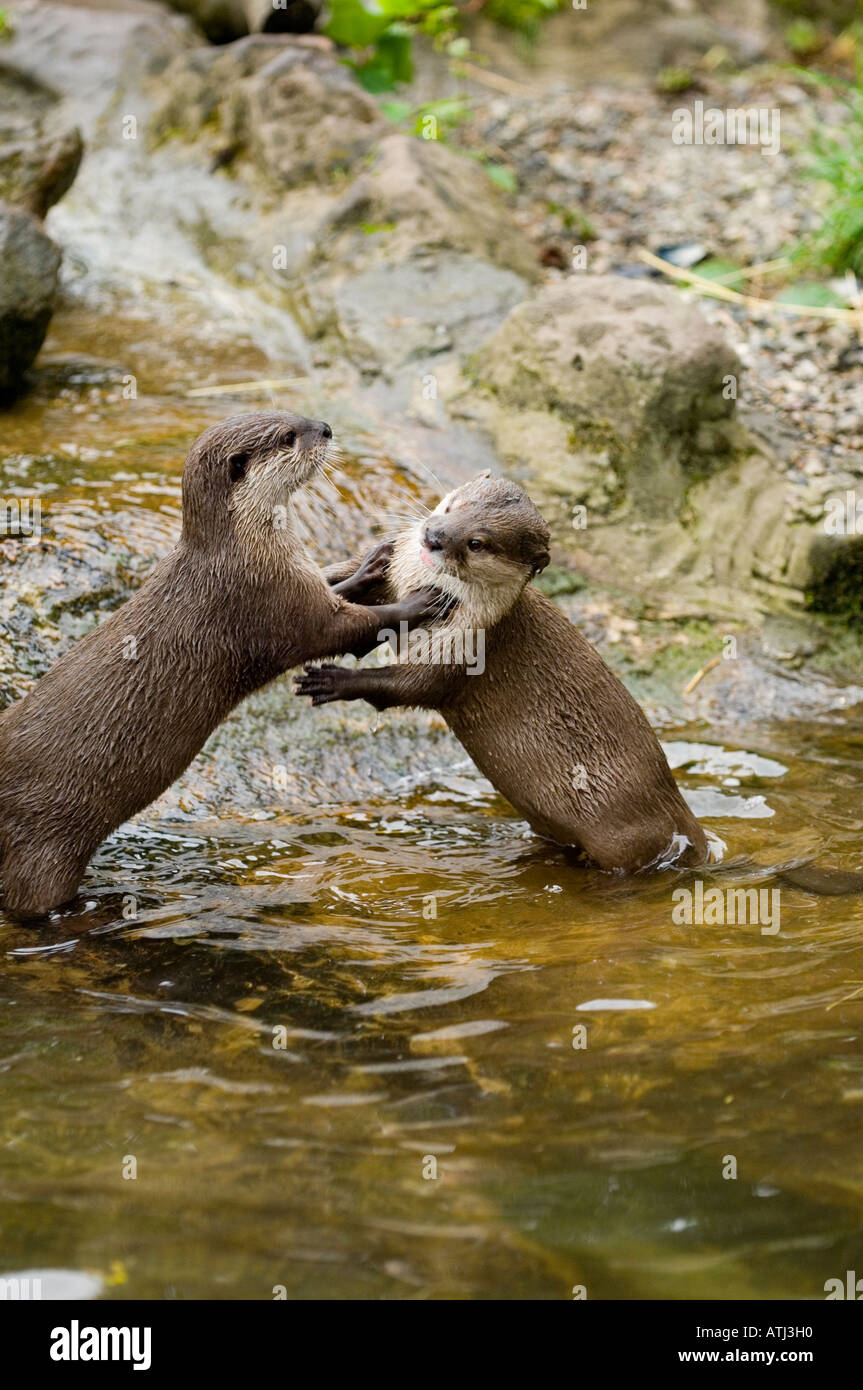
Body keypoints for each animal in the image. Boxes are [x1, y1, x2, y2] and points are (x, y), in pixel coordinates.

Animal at [0, 411, 442, 920]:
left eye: (291, 414)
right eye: (289, 436)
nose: (327, 428)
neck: (240, 552)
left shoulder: (296, 579)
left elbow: (336, 586)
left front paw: (371, 565)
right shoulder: (272, 600)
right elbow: (350, 628)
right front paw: (419, 602)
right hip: (41, 854)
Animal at [298, 473, 711, 873]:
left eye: (477, 543)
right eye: (452, 506)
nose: (433, 536)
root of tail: (684, 819)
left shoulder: (466, 645)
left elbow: (409, 687)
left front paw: (333, 680)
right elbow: (331, 582)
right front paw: (368, 566)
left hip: (628, 839)